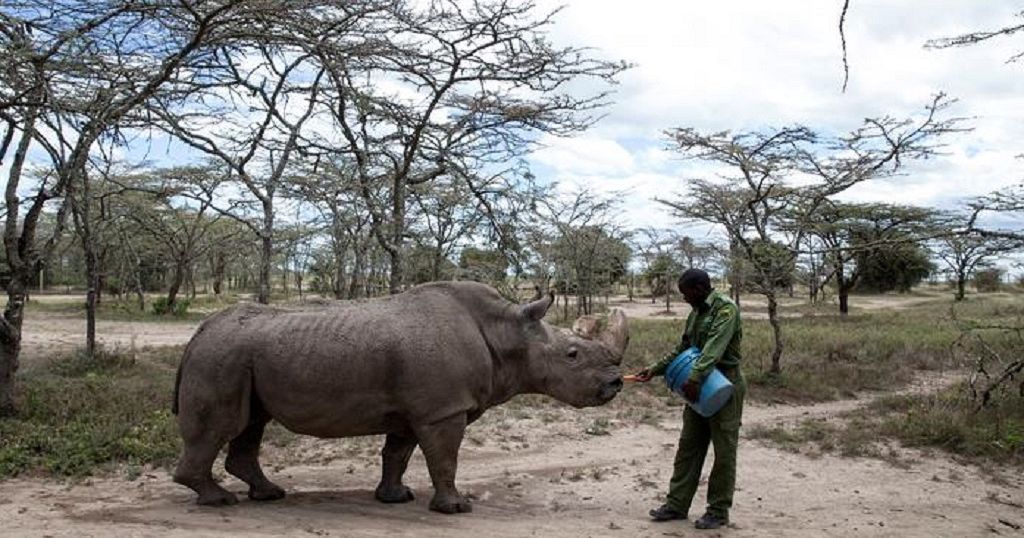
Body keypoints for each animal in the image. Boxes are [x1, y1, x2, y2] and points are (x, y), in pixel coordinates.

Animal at [172, 281, 629, 513]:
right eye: (572, 354)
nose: (615, 385)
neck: (506, 332)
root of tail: (198, 333)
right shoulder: (443, 409)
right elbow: (444, 458)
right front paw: (456, 508)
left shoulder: (419, 408)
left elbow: (399, 454)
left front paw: (395, 497)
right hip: (221, 356)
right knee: (222, 426)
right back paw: (220, 501)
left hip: (239, 356)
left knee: (252, 422)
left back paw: (268, 494)